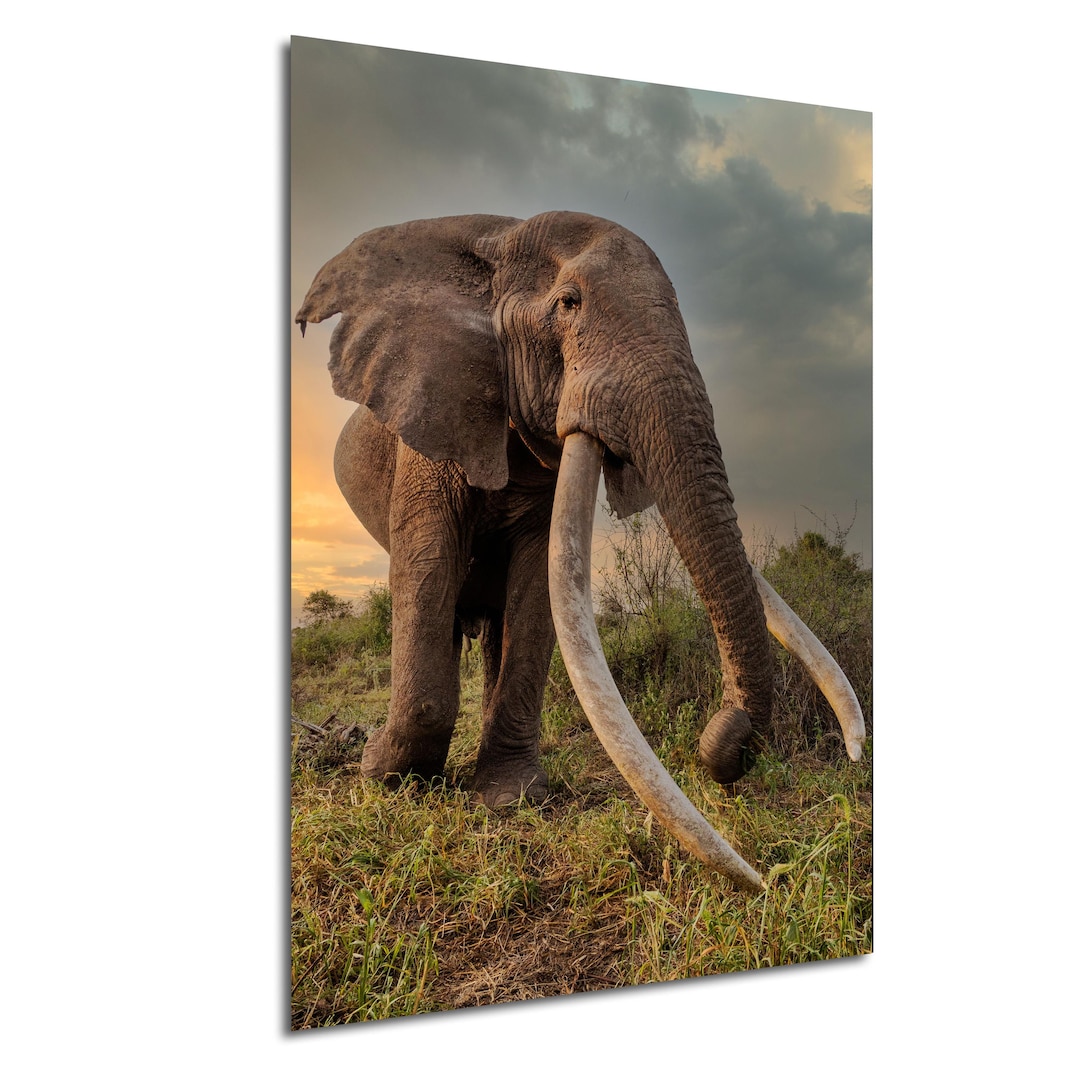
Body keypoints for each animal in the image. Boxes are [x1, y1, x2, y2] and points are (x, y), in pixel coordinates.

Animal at [296, 211, 864, 892]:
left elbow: (538, 579)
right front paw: (382, 772)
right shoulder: (429, 416)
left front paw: (510, 799)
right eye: (568, 303)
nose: (724, 741)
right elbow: (429, 562)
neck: (497, 239)